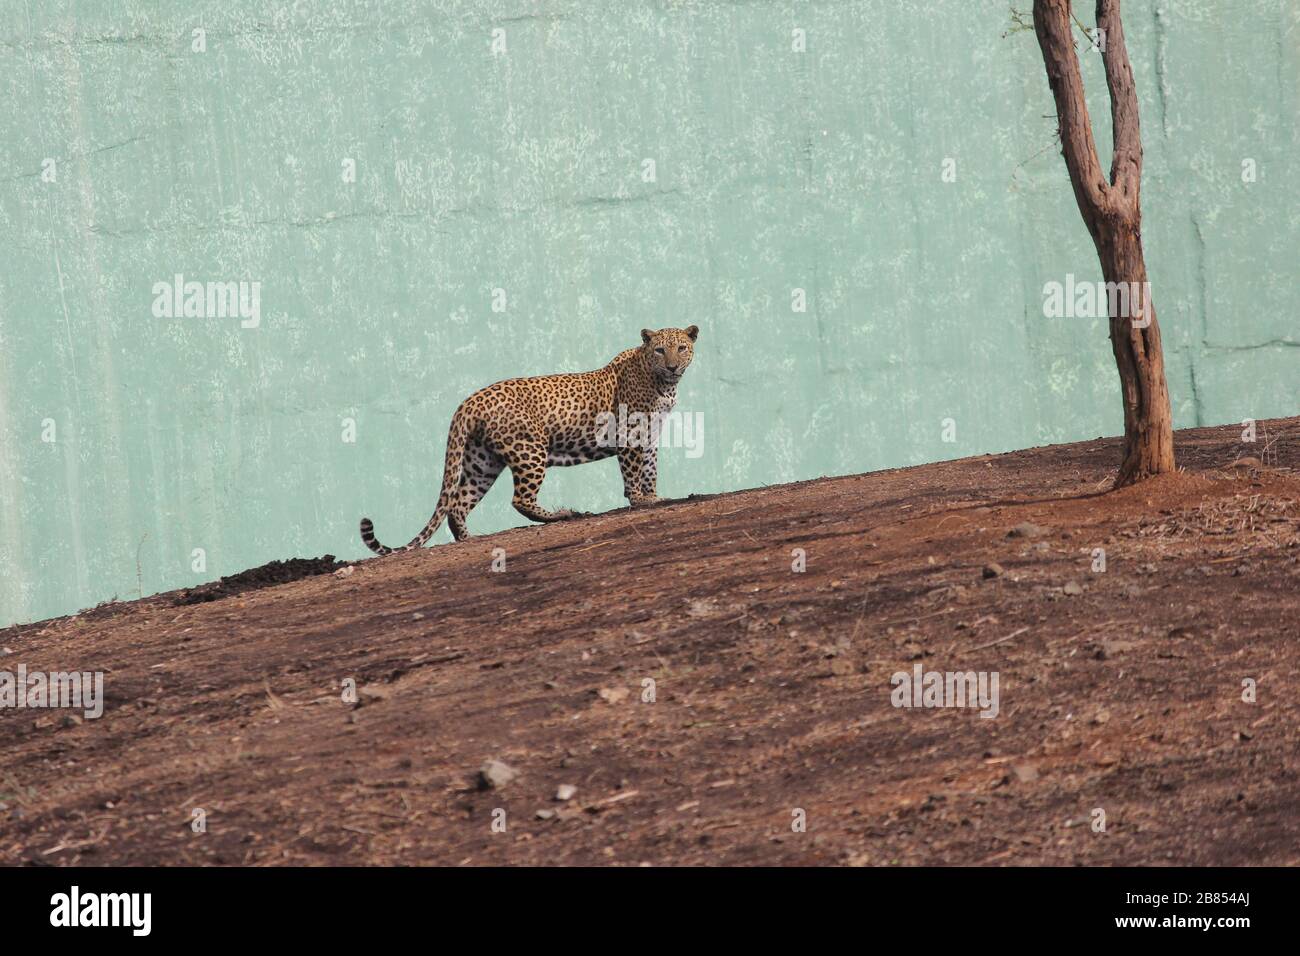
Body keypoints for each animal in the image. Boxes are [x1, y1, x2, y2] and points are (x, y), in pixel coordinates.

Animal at [360, 325, 699, 555]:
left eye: (682, 348)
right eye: (660, 350)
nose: (672, 366)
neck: (663, 383)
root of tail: (469, 401)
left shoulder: (651, 435)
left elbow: (650, 469)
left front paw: (653, 496)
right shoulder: (630, 433)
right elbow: (632, 471)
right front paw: (638, 499)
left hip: (482, 461)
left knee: (458, 502)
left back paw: (469, 539)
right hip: (530, 450)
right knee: (519, 498)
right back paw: (561, 515)